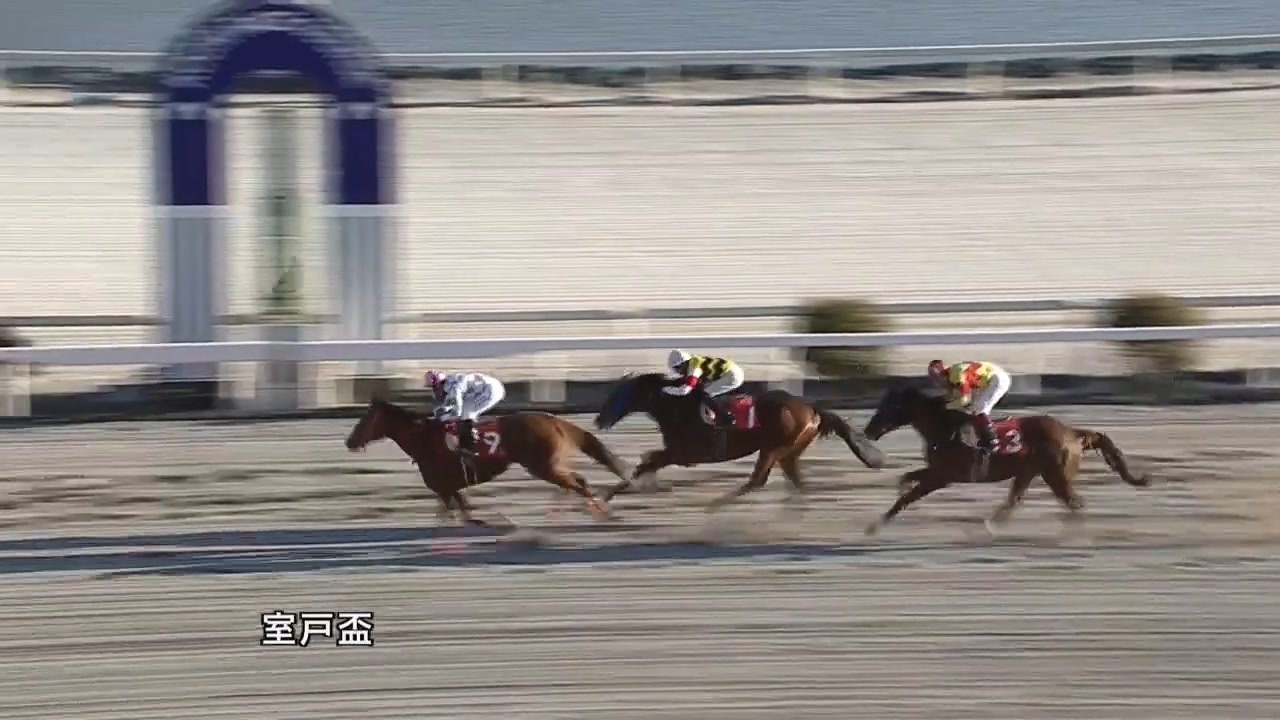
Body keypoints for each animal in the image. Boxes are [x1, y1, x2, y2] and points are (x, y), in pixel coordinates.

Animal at [344, 398, 631, 527]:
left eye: (365, 420)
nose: (349, 441)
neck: (424, 440)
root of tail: (554, 420)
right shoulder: (450, 490)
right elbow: (464, 511)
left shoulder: (444, 489)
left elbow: (458, 513)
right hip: (548, 466)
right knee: (578, 481)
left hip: (543, 466)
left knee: (579, 483)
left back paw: (600, 509)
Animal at [592, 372, 886, 509]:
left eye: (616, 396)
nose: (598, 420)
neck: (677, 407)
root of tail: (812, 409)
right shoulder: (676, 452)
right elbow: (646, 463)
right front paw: (605, 496)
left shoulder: (686, 454)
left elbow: (647, 461)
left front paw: (604, 496)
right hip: (790, 451)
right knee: (797, 482)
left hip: (773, 447)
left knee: (757, 480)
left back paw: (715, 506)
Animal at [860, 381, 1151, 536]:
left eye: (892, 406)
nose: (869, 431)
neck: (944, 428)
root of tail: (1072, 432)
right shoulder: (938, 471)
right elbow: (906, 479)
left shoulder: (945, 476)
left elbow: (906, 499)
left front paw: (873, 527)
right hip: (1027, 472)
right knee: (1014, 502)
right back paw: (989, 526)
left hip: (1056, 475)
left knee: (1074, 502)